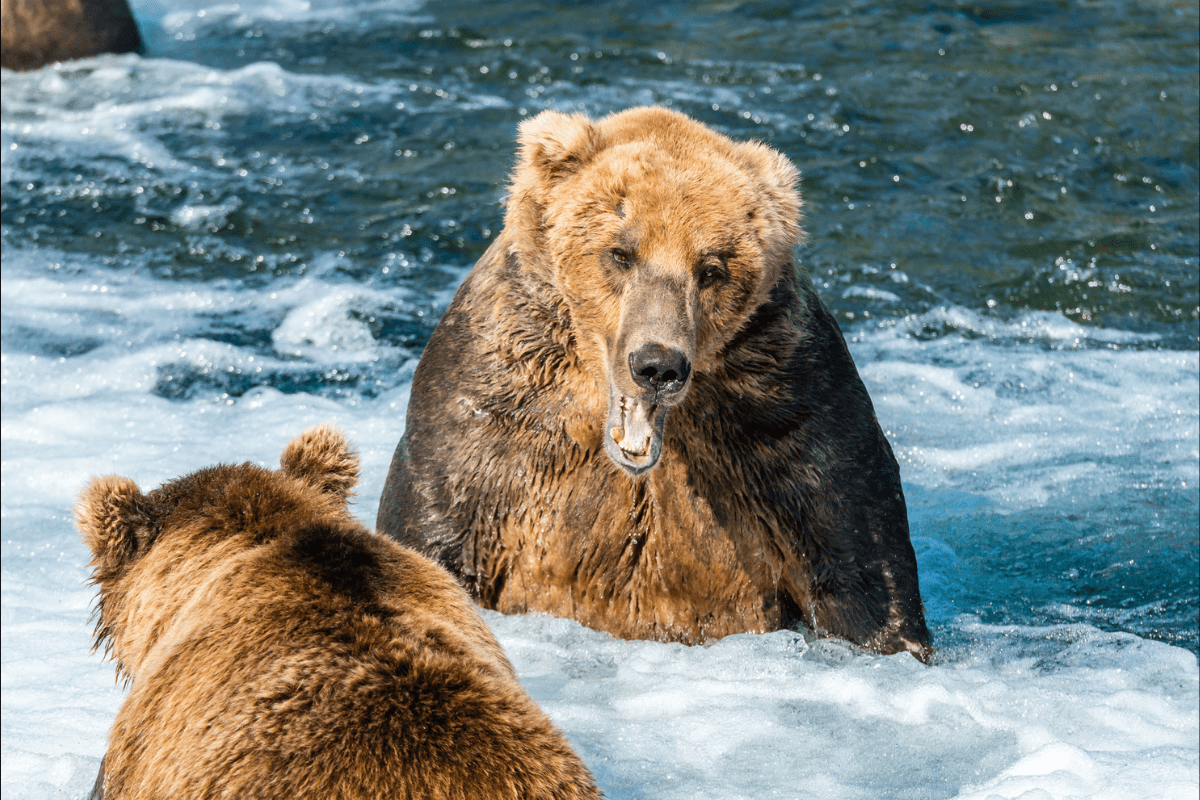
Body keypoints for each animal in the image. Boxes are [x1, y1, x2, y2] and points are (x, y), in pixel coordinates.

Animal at [377, 106, 932, 662]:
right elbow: (439, 525)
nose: (657, 366)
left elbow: (859, 559)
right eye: (621, 252)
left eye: (711, 268)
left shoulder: (783, 404)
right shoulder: (496, 410)